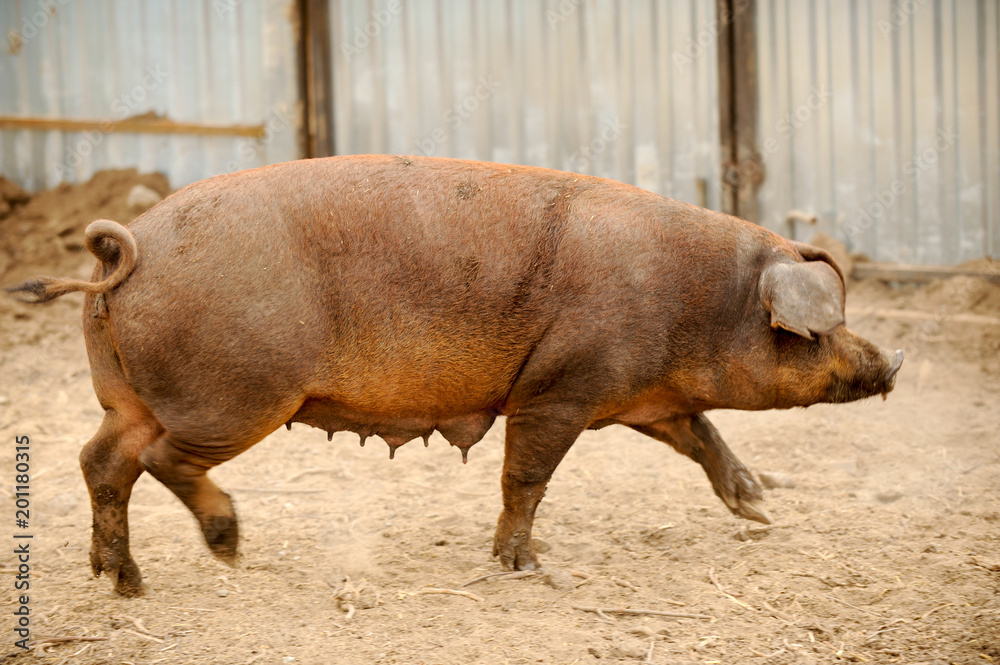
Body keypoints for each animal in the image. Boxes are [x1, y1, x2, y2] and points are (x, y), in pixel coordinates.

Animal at [6, 155, 903, 597]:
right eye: (824, 328)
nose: (894, 359)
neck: (693, 304)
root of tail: (121, 255)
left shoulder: (642, 394)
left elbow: (701, 433)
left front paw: (760, 506)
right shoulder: (561, 387)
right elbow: (526, 476)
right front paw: (524, 566)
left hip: (128, 397)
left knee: (100, 460)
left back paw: (123, 583)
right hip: (239, 394)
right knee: (161, 461)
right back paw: (226, 547)